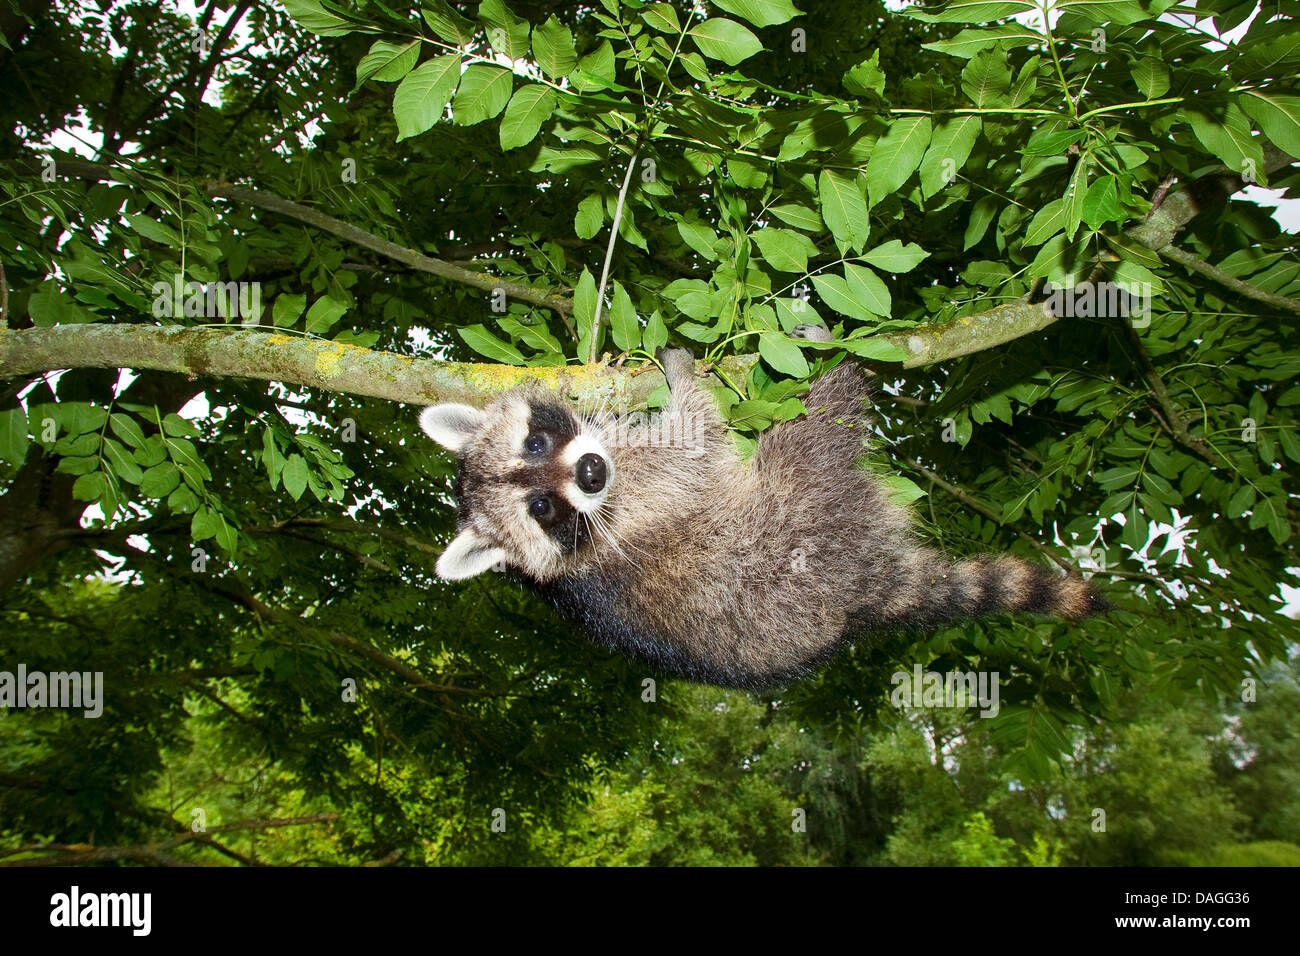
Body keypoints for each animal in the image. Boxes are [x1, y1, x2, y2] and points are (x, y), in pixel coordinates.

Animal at [420, 348, 1107, 689]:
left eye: (535, 443)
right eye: (540, 508)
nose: (590, 471)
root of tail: (869, 593)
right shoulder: (640, 497)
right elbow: (695, 446)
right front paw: (682, 376)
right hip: (813, 513)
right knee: (811, 434)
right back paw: (837, 369)